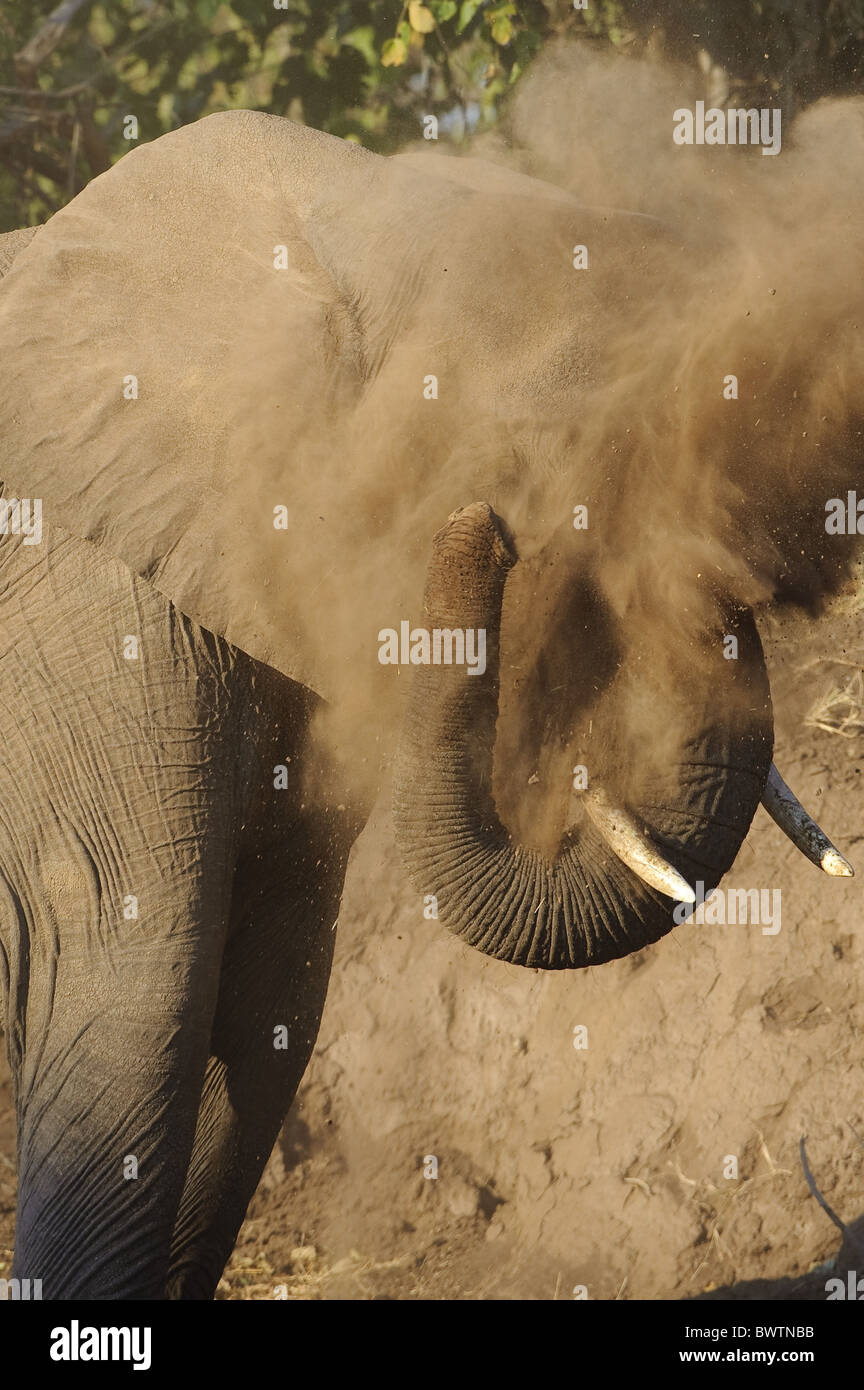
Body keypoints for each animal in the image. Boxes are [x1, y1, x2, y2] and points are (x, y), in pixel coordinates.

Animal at [0, 106, 857, 1299]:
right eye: (539, 464)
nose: (474, 535)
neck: (340, 221)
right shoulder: (86, 611)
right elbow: (131, 978)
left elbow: (269, 991)